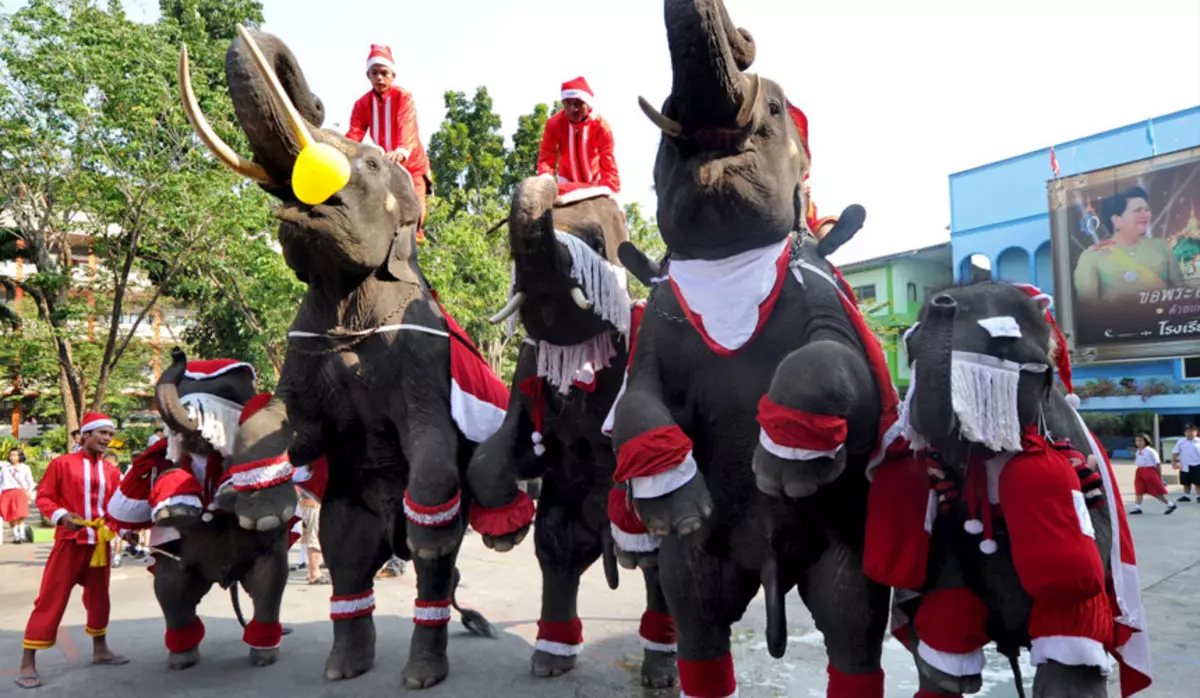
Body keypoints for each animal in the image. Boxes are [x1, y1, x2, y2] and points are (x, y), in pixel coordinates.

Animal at [175, 25, 499, 690]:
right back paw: (344, 667)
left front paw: (431, 526)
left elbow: (428, 432)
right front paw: (259, 514)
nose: (316, 99)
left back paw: (420, 667)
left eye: (371, 162)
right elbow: (286, 421)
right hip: (346, 514)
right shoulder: (303, 345)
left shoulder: (423, 349)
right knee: (348, 561)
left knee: (432, 572)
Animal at [463, 176, 681, 690]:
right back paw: (550, 659)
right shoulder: (528, 365)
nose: (551, 181)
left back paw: (661, 672)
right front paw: (502, 531)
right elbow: (515, 446)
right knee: (558, 544)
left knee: (658, 561)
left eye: (597, 243)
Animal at [614, 2, 897, 695]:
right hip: (708, 564)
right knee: (698, 616)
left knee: (853, 627)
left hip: (846, 540)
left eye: (773, 109)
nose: (742, 36)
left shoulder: (819, 291)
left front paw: (783, 464)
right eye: (662, 136)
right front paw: (678, 504)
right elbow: (638, 396)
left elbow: (840, 366)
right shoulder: (659, 317)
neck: (730, 267)